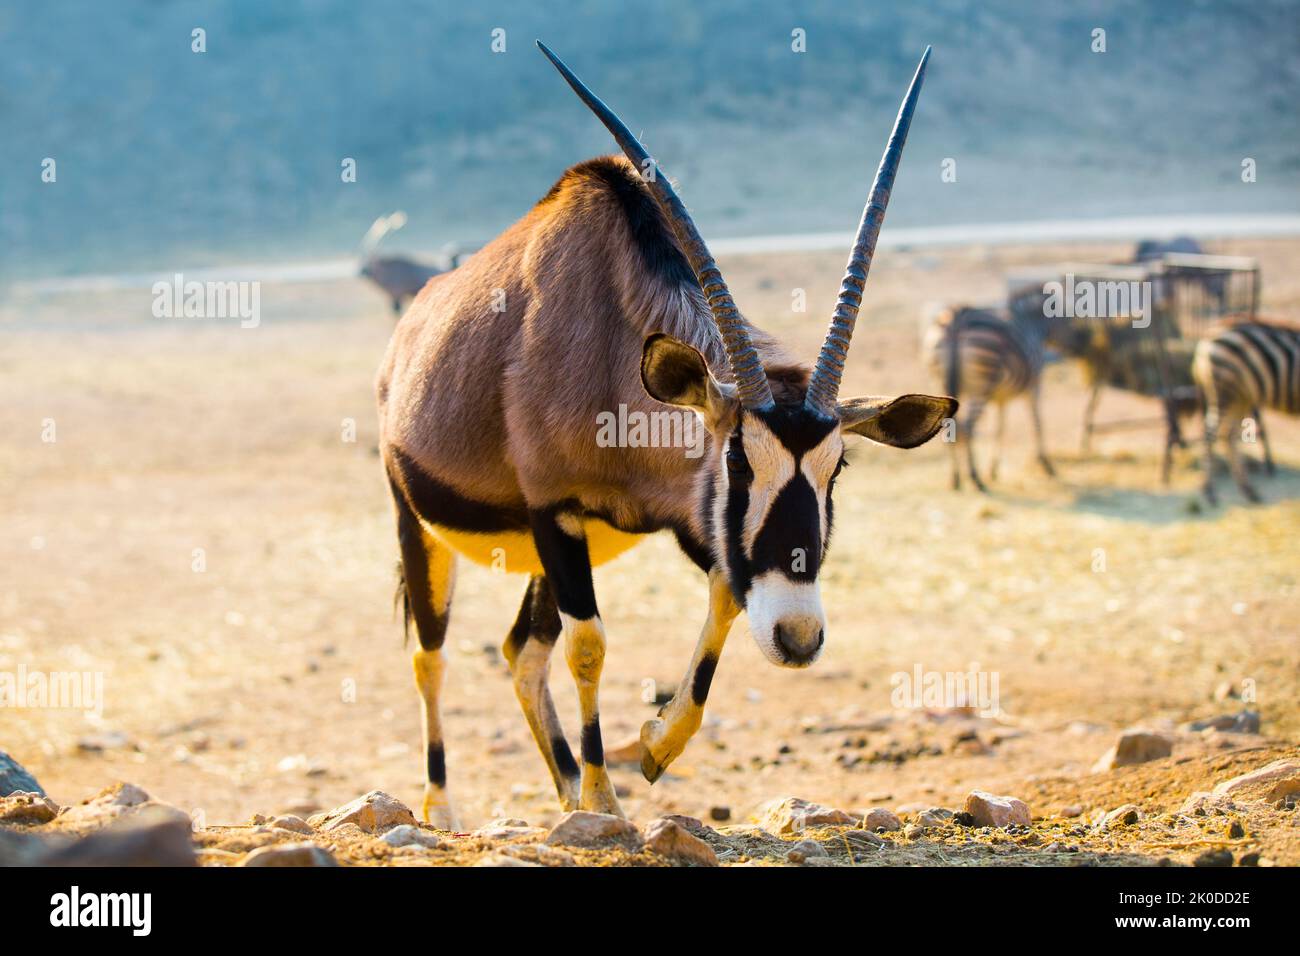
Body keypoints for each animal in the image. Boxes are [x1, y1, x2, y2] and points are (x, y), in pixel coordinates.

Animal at [376, 41, 954, 826]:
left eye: (836, 469)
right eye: (738, 461)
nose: (799, 637)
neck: (611, 353)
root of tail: (405, 334)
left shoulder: (686, 524)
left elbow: (724, 597)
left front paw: (652, 749)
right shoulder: (555, 511)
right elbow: (590, 645)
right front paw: (605, 795)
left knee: (521, 650)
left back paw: (565, 788)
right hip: (422, 526)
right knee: (430, 656)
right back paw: (444, 807)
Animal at [1194, 317, 1299, 504]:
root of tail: (1208, 334)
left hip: (1241, 397)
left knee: (1229, 436)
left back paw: (1248, 490)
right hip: (1225, 392)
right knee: (1209, 435)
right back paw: (1209, 491)